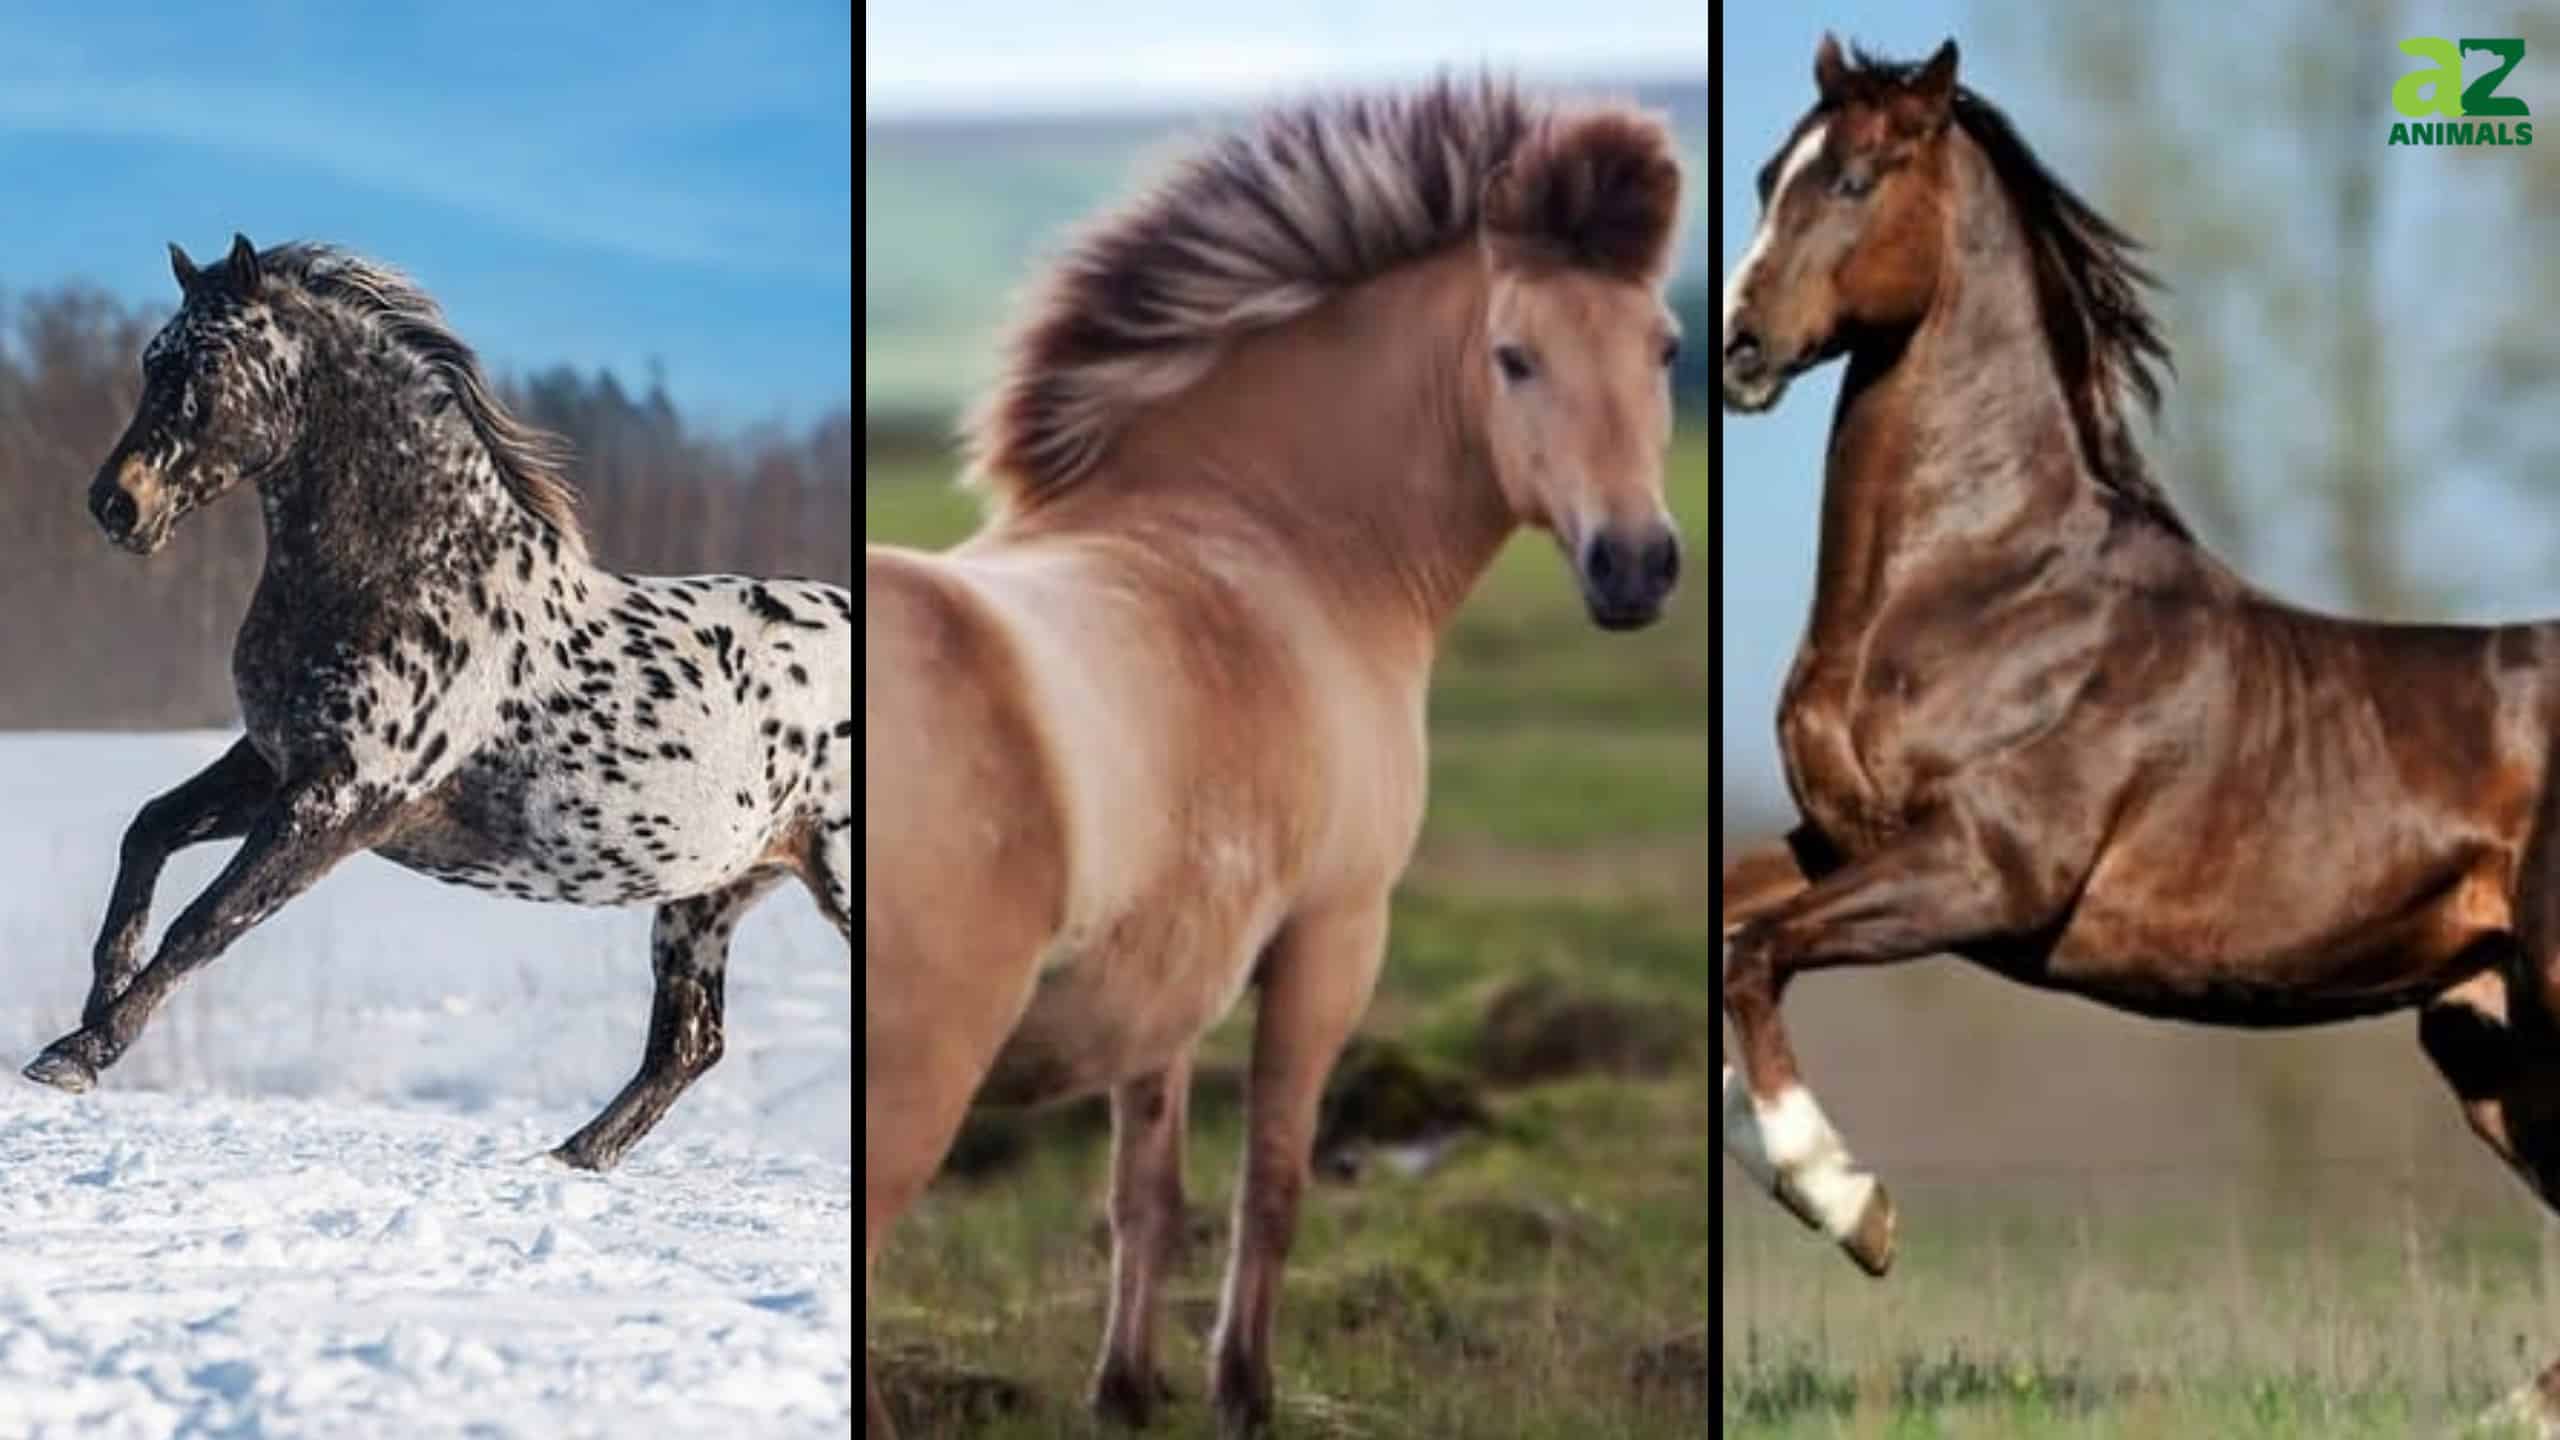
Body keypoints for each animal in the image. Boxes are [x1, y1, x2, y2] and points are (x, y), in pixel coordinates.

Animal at [21, 235, 854, 1182]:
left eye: (209, 361)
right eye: (150, 360)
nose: (118, 503)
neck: (412, 574)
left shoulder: (340, 805)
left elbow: (209, 922)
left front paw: (83, 1052)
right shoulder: (273, 766)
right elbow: (149, 831)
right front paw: (92, 1008)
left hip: (827, 882)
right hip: (710, 894)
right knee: (687, 1046)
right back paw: (563, 1162)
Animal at [866, 78, 1686, 1438]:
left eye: (1664, 349)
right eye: (1513, 357)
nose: (1636, 564)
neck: (1272, 540)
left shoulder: (1167, 975)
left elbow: (1145, 1197)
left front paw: (1126, 1390)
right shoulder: (1330, 938)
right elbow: (1275, 1182)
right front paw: (1240, 1393)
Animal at [1719, 33, 2560, 1420]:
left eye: (1851, 178)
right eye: (1760, 177)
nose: (1738, 349)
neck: (1988, 590)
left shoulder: (1986, 876)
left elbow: (1754, 955)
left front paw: (1851, 1207)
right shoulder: (1839, 844)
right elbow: (1728, 929)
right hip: (2483, 1031)